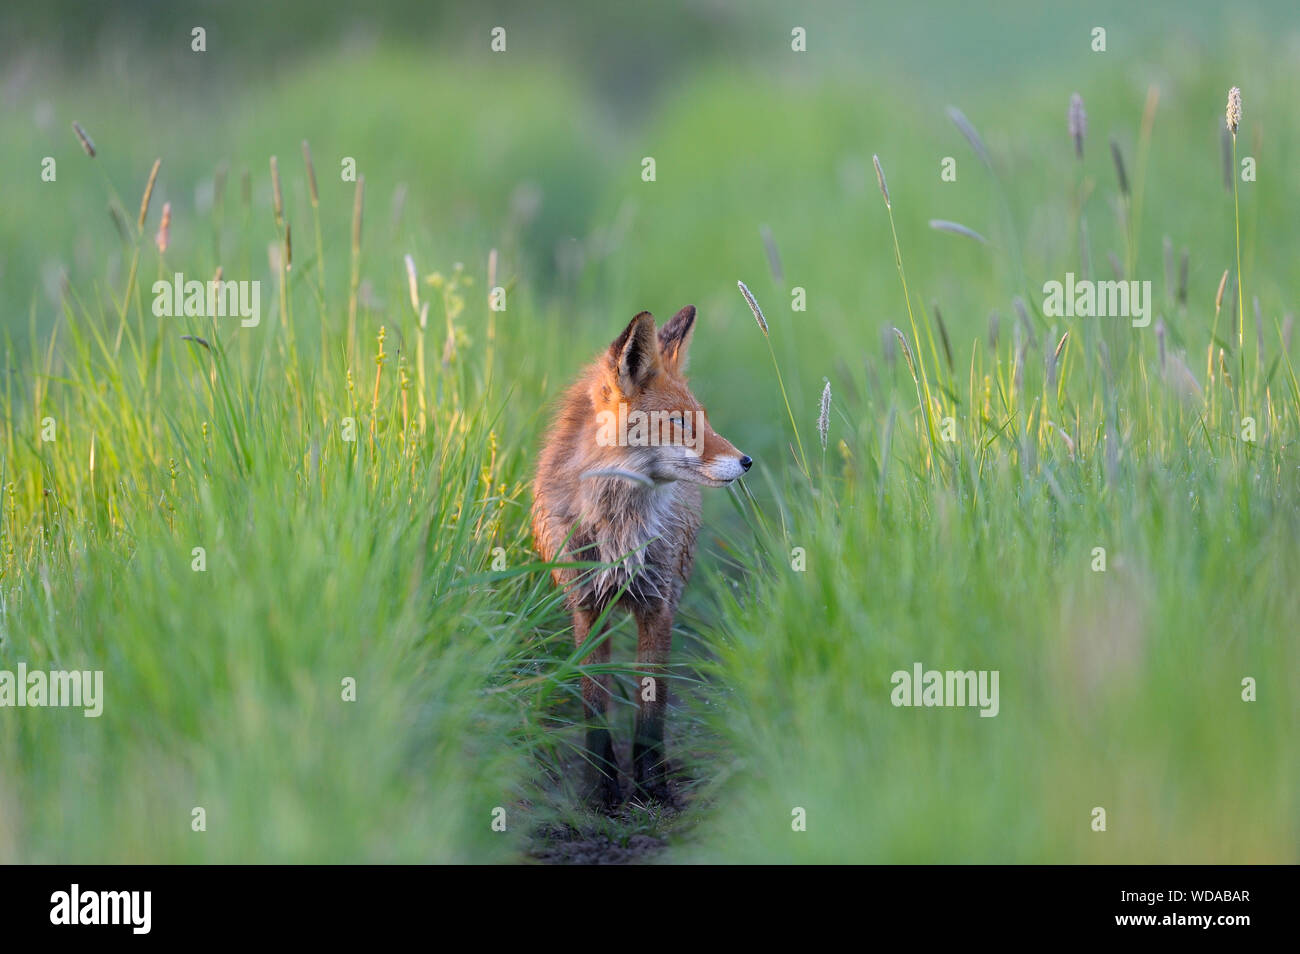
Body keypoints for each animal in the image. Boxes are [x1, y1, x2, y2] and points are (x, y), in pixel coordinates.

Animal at [531, 305, 752, 808]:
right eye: (681, 424)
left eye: (704, 421)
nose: (747, 461)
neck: (618, 527)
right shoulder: (587, 606)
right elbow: (594, 706)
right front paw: (601, 789)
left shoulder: (658, 604)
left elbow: (652, 709)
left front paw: (653, 788)